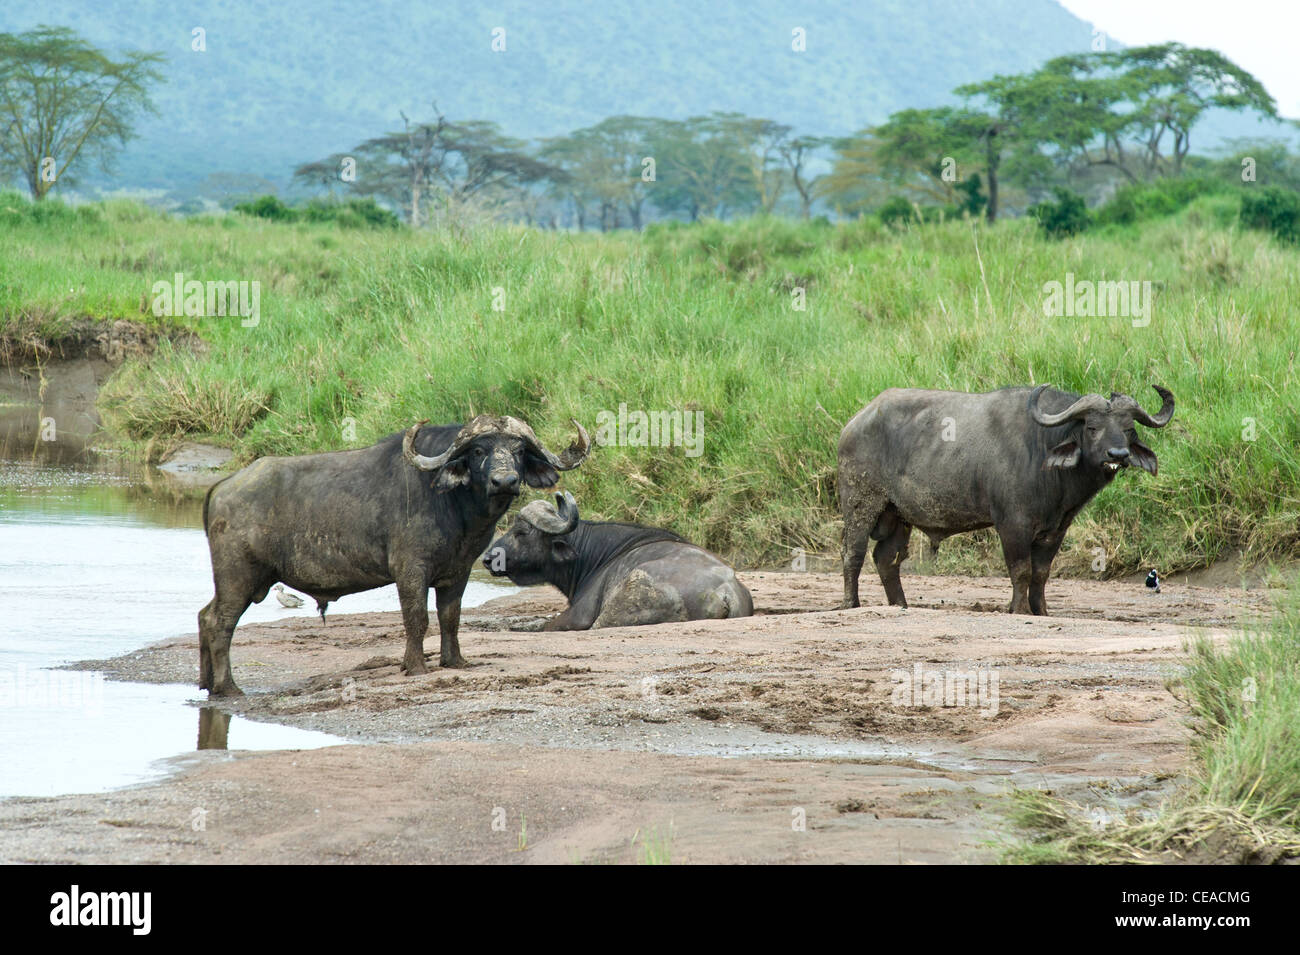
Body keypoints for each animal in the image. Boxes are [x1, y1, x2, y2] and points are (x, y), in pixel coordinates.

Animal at [199, 415, 590, 695]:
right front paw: (414, 667)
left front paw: (455, 662)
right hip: (238, 577)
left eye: (520, 451)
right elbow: (417, 619)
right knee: (220, 622)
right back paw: (229, 687)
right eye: (479, 451)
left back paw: (207, 684)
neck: (453, 504)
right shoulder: (410, 569)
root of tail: (223, 486)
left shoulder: (458, 572)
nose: (505, 481)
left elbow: (450, 618)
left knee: (205, 616)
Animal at [838, 384, 1174, 615]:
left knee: (887, 558)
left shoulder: (1055, 530)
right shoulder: (1013, 525)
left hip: (899, 515)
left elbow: (1041, 573)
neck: (1042, 448)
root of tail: (854, 423)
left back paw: (900, 604)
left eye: (1128, 429)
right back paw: (851, 604)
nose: (1117, 455)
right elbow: (1021, 570)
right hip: (861, 503)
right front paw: (1019, 609)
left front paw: (1041, 611)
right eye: (1092, 427)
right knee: (853, 554)